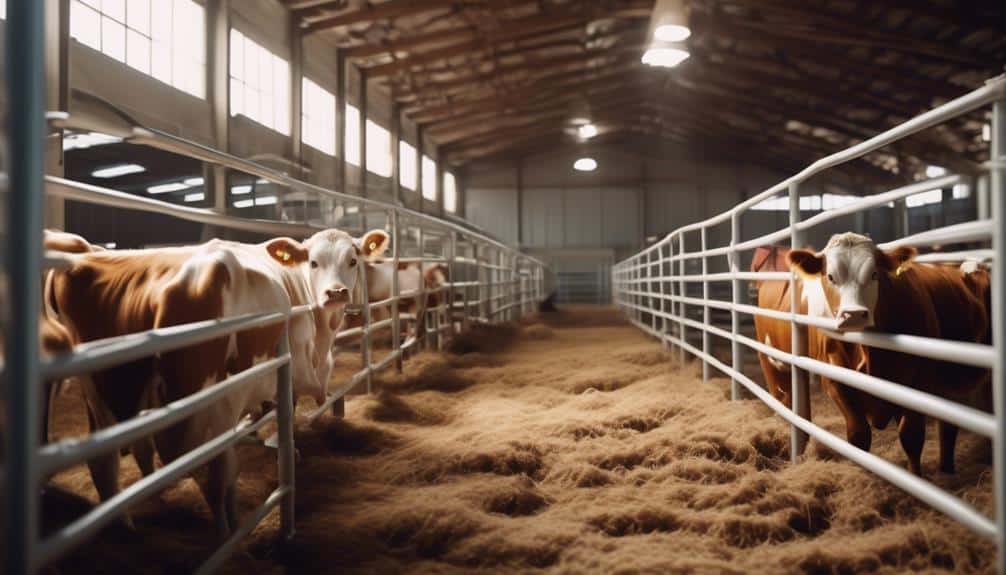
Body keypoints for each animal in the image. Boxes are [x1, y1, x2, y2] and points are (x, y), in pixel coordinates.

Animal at [787, 232, 990, 475]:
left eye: (875, 274)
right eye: (830, 276)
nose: (854, 314)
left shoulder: (919, 382)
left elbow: (911, 437)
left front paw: (915, 477)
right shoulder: (835, 380)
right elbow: (858, 435)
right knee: (948, 427)